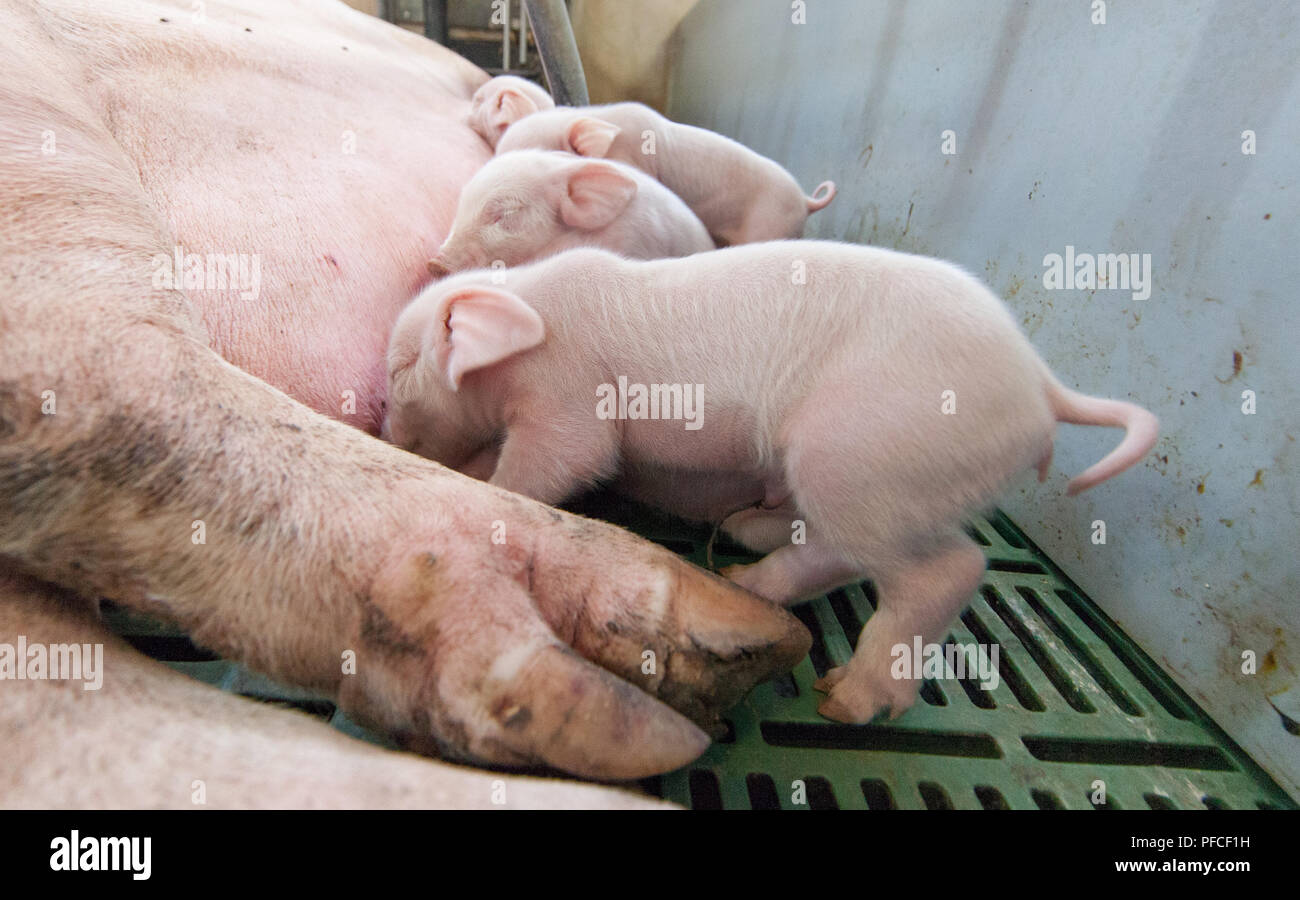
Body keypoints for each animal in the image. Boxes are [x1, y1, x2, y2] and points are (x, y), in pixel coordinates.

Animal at [385, 241, 1159, 725]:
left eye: (398, 370)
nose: (384, 429)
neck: (526, 326)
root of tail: (1043, 387)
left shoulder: (567, 399)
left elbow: (559, 462)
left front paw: (481, 480)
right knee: (838, 552)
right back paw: (739, 562)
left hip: (858, 458)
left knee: (950, 569)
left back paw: (844, 701)